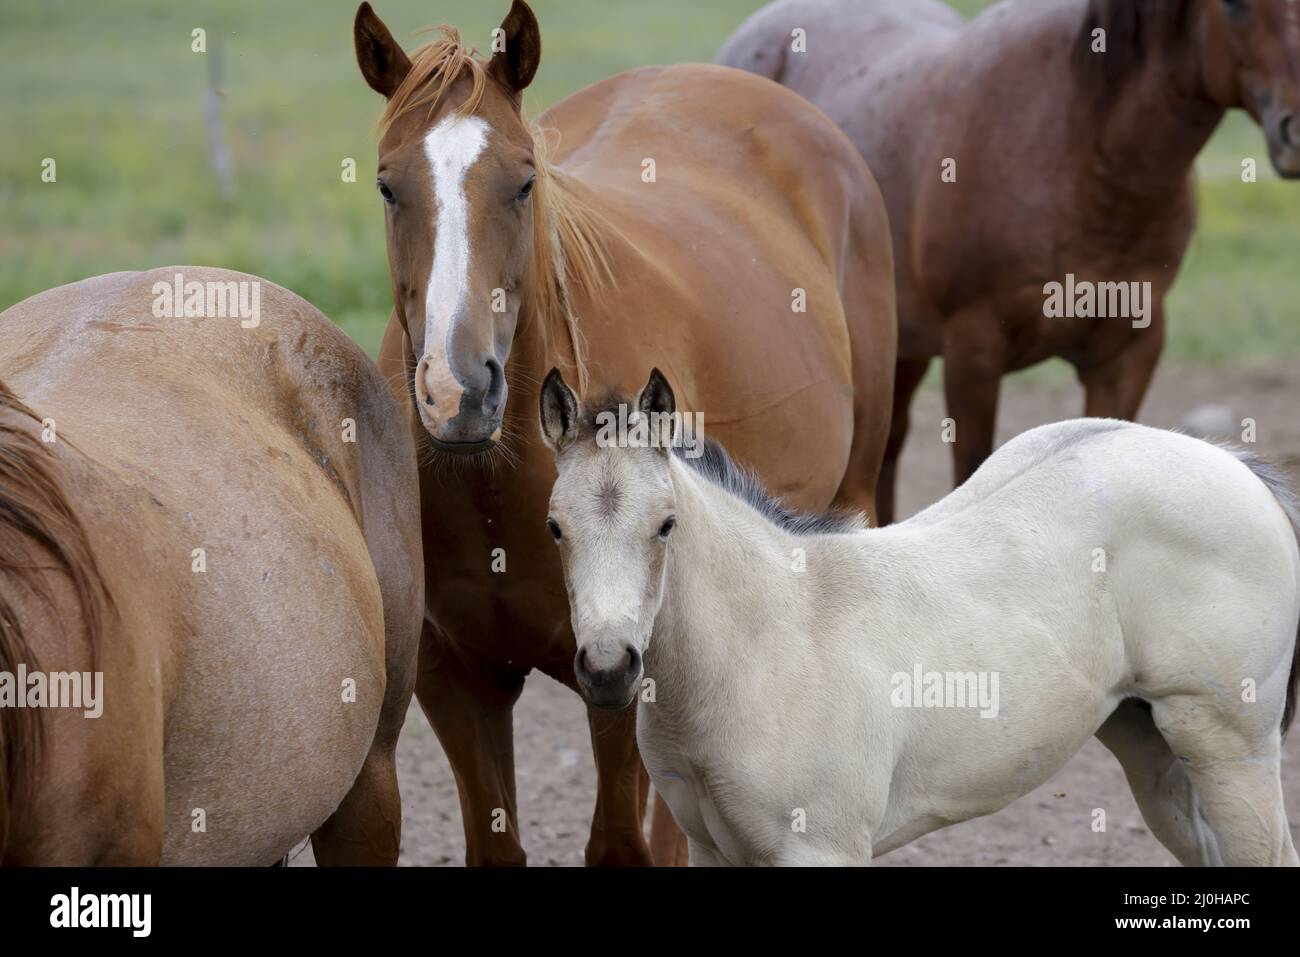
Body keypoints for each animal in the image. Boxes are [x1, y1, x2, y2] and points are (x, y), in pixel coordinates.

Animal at [539, 366, 1300, 866]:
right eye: (553, 527)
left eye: (665, 524)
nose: (607, 668)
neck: (769, 647)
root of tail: (1235, 466)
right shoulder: (710, 849)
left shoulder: (821, 850)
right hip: (1151, 745)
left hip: (1230, 748)